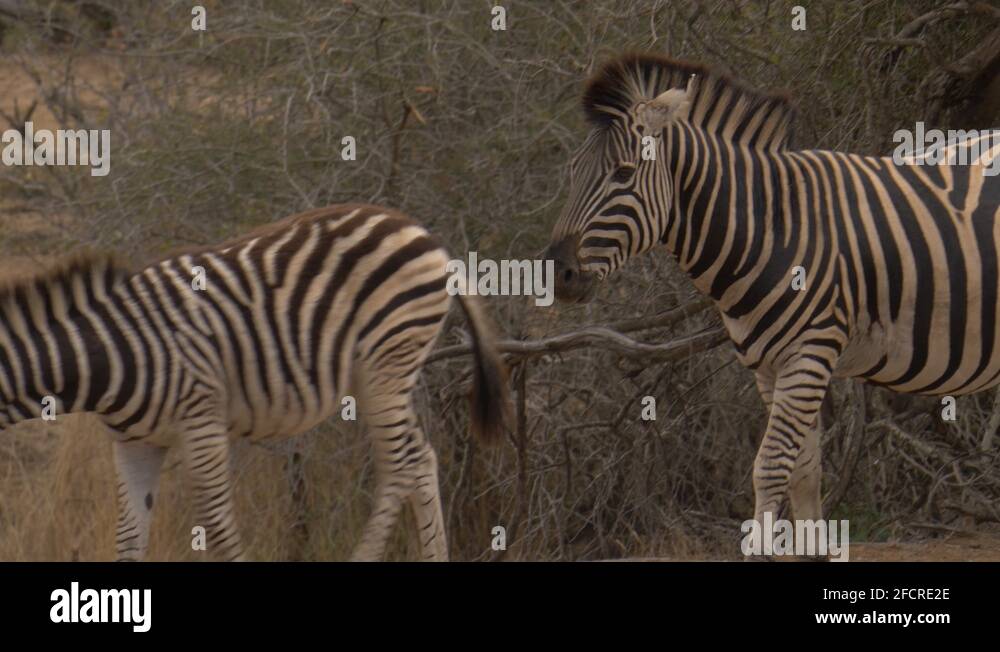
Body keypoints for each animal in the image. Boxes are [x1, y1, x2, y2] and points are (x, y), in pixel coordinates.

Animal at [0, 203, 508, 561]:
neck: (107, 352)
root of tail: (425, 234)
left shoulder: (200, 419)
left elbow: (218, 525)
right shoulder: (134, 443)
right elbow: (129, 537)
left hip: (386, 361)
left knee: (401, 466)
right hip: (392, 372)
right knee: (420, 458)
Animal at [544, 52, 1000, 555]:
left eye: (623, 173)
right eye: (572, 172)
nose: (557, 273)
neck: (772, 230)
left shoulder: (810, 352)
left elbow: (770, 466)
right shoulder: (769, 365)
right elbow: (803, 473)